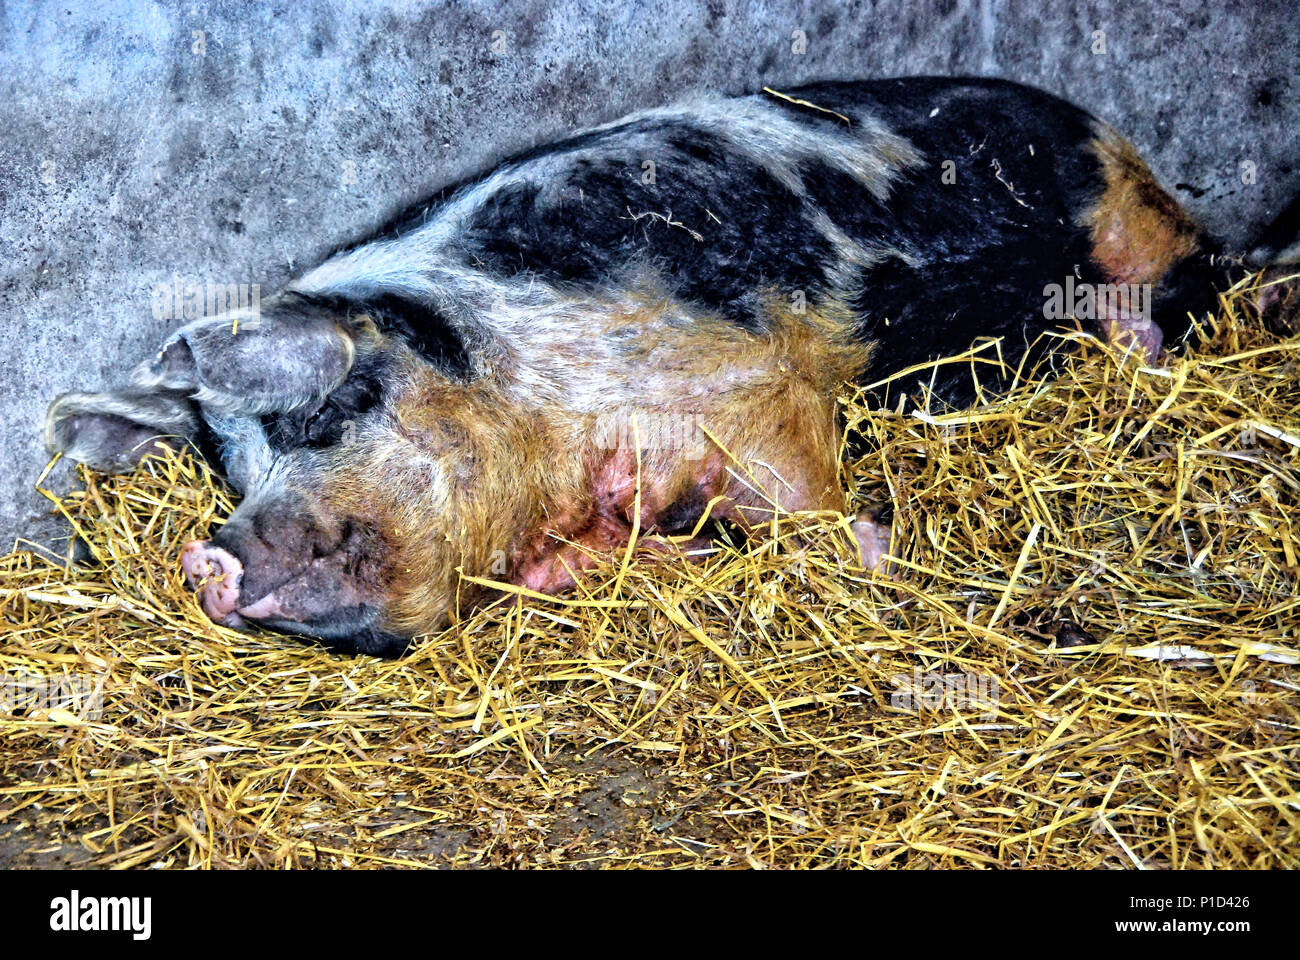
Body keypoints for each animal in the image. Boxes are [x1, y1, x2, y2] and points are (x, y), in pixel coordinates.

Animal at [44, 77, 1300, 657]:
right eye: (230, 467)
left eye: (321, 416)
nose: (208, 554)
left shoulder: (751, 391)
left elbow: (808, 506)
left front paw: (873, 557)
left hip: (1123, 215)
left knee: (1165, 293)